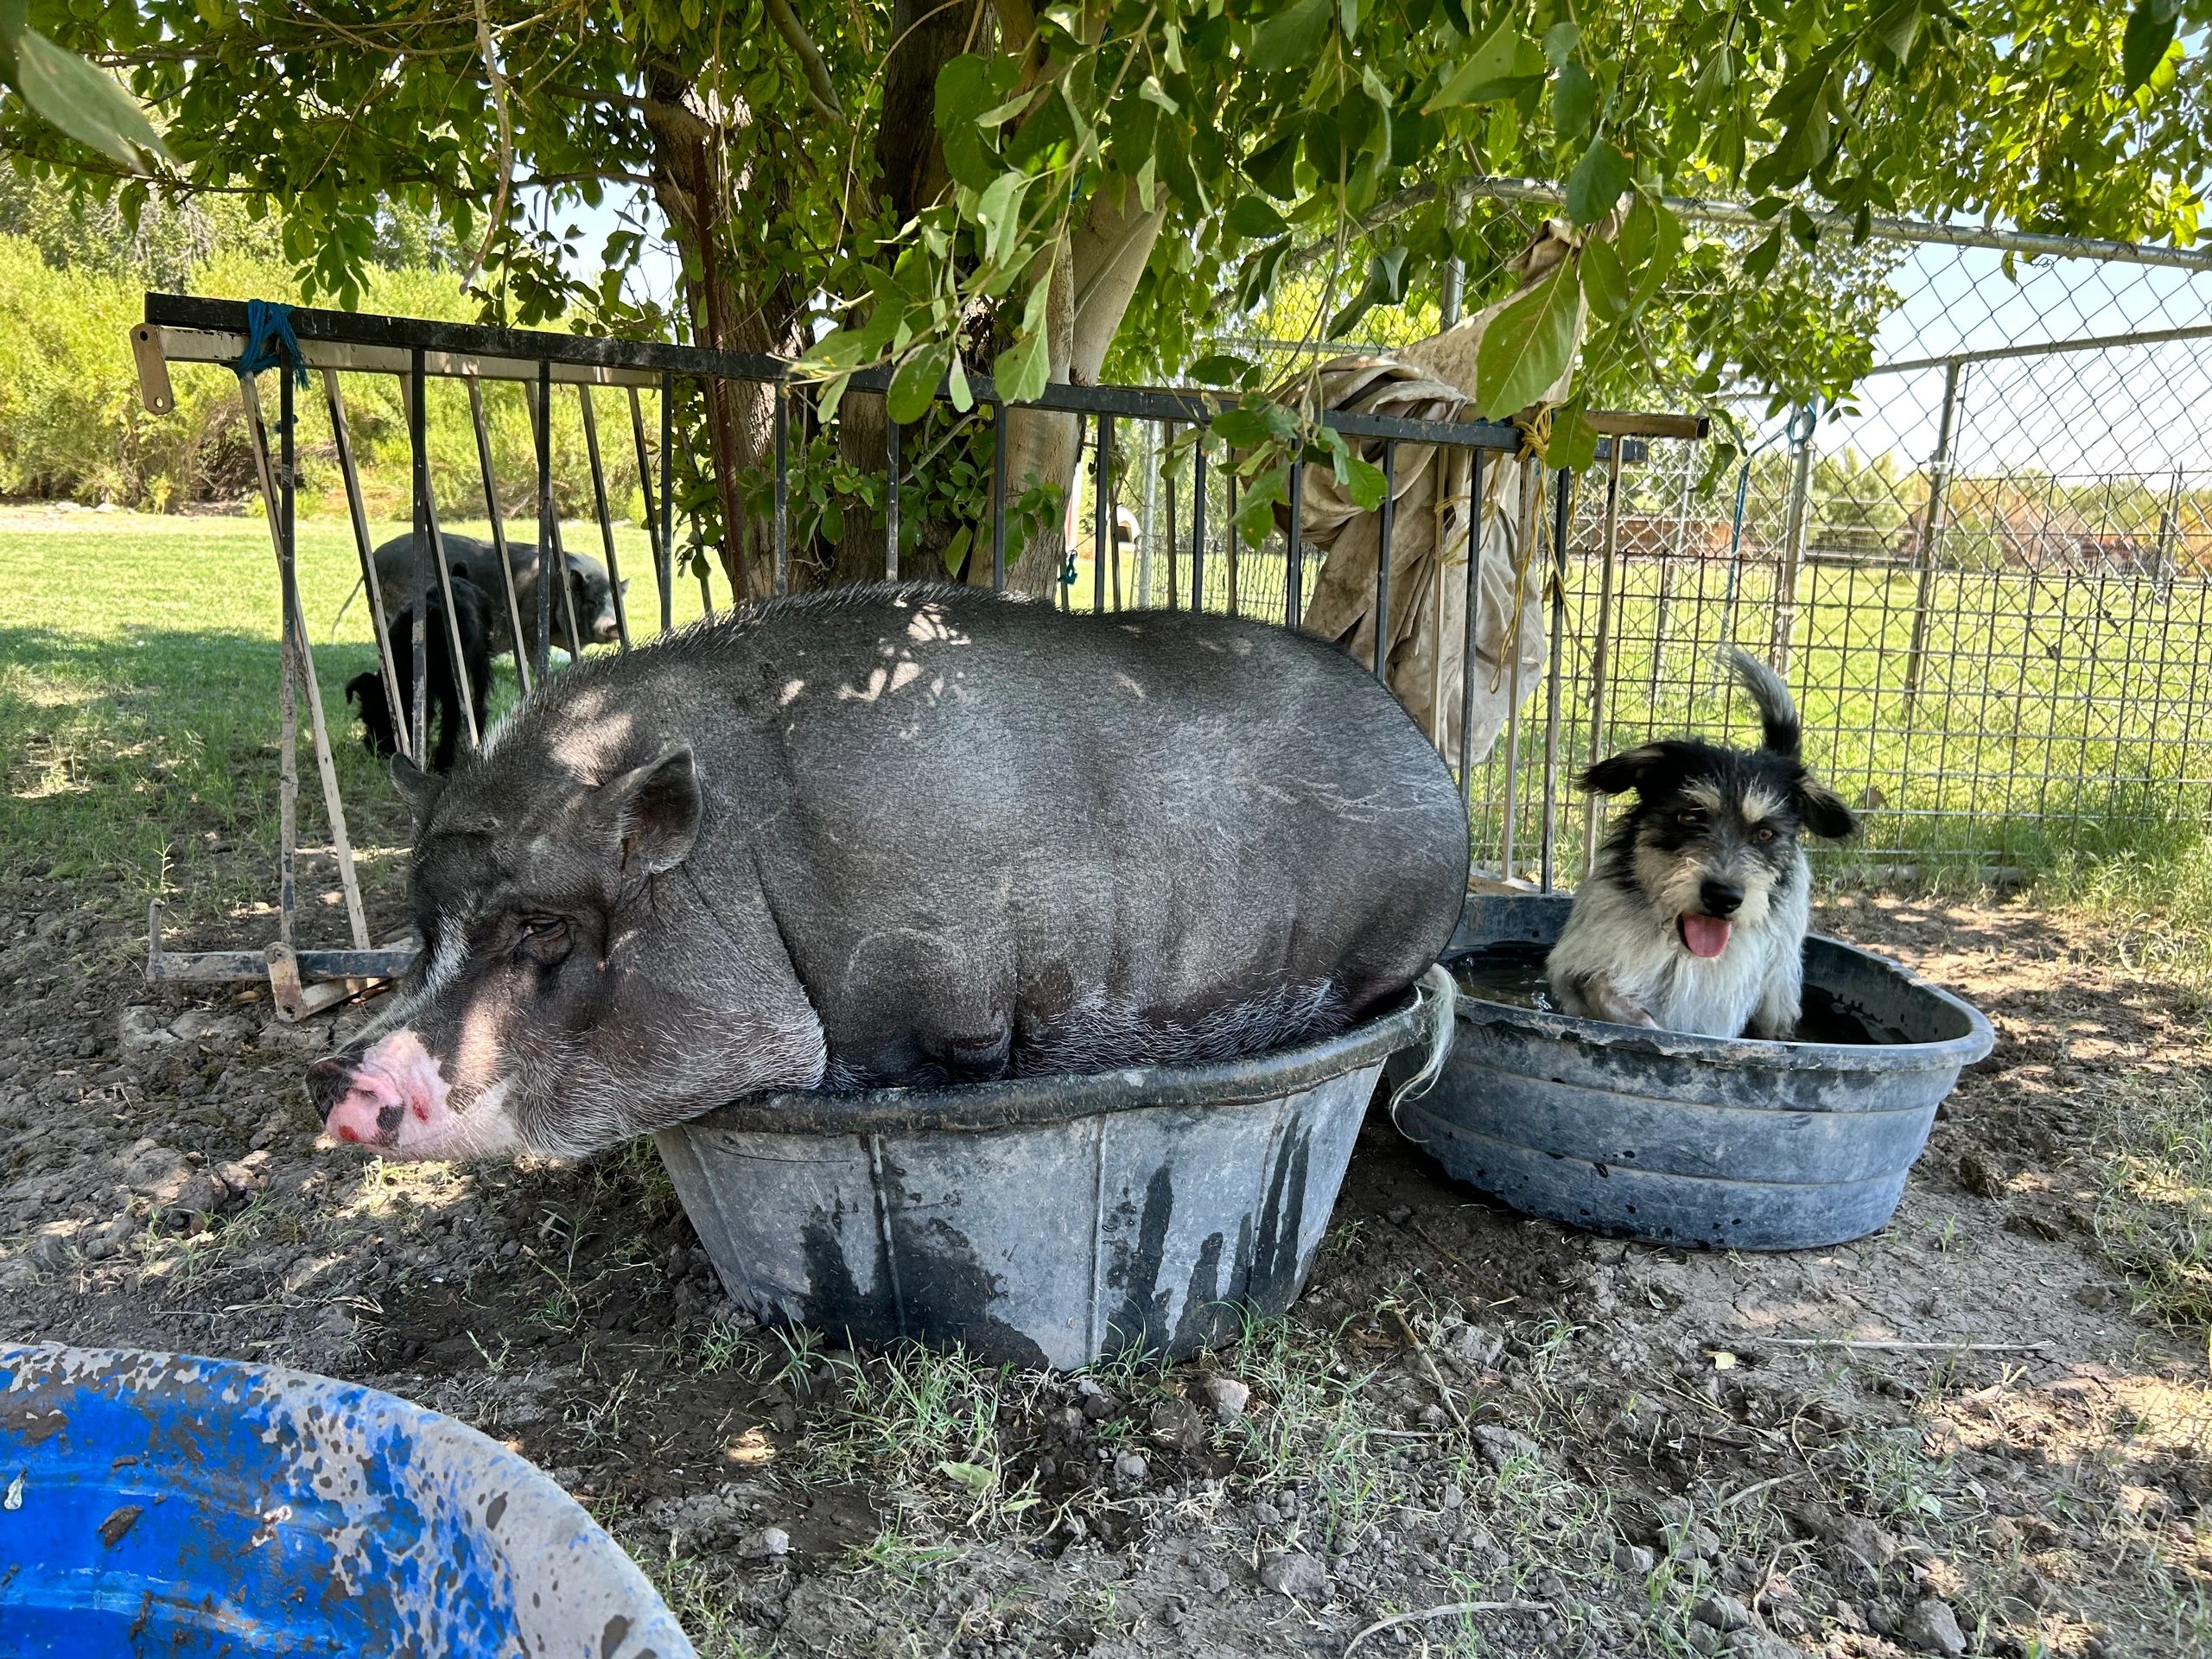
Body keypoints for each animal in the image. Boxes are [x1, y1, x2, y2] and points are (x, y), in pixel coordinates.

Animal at [305, 584, 1469, 1161]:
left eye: (542, 927)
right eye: (422, 927)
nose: (331, 1074)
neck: (753, 869)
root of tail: (1435, 765)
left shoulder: (945, 1010)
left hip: (1377, 957)